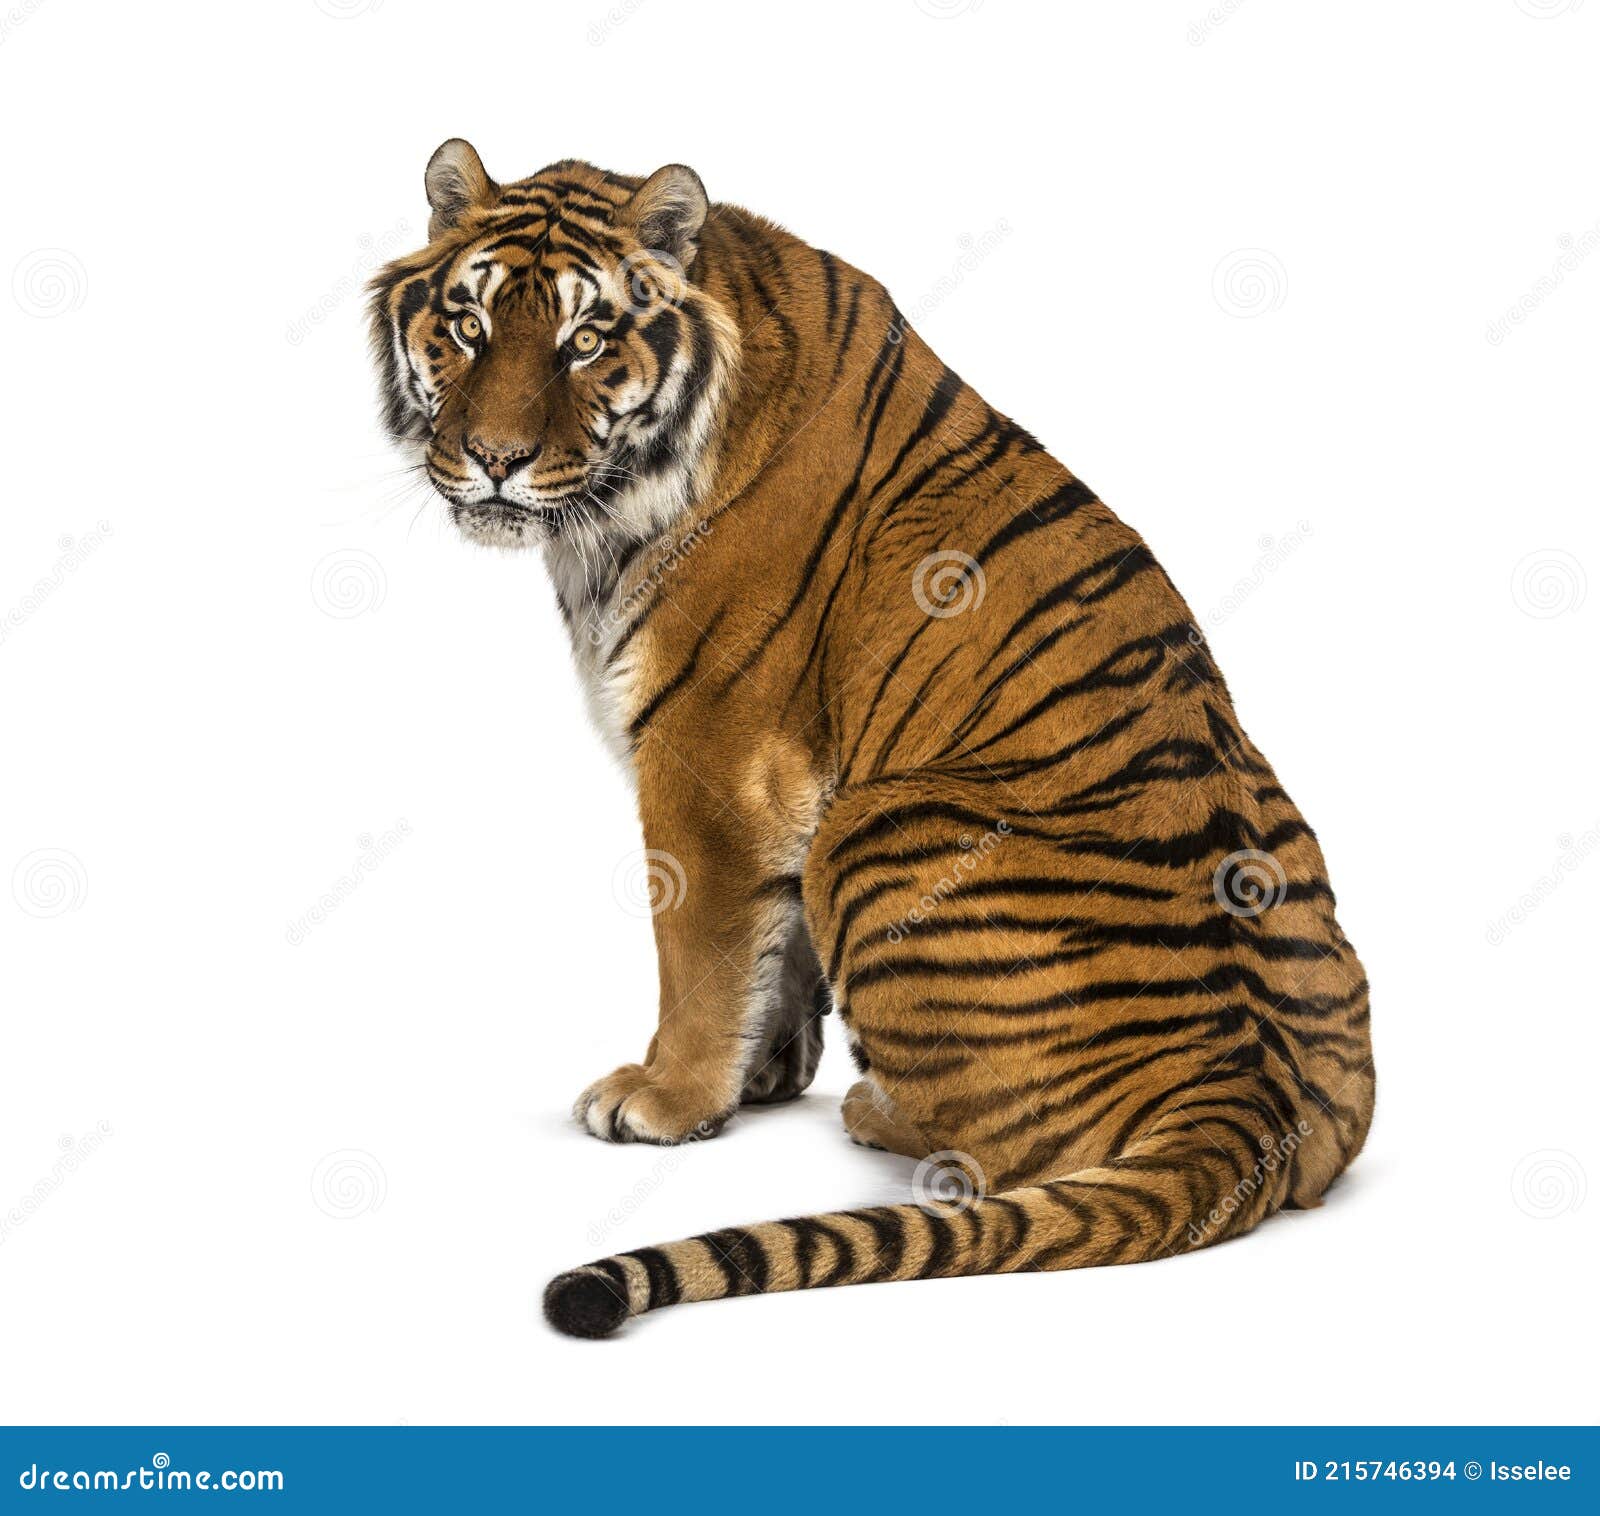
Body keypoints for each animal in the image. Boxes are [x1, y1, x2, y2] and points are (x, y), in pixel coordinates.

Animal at [368, 140, 1374, 1338]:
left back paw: (873, 1106)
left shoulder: (714, 756)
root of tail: (1245, 1090)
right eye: (468, 325)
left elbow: (699, 949)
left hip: (877, 823)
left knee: (1003, 1160)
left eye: (586, 340)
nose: (494, 460)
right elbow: (770, 945)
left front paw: (668, 1098)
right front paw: (760, 1075)